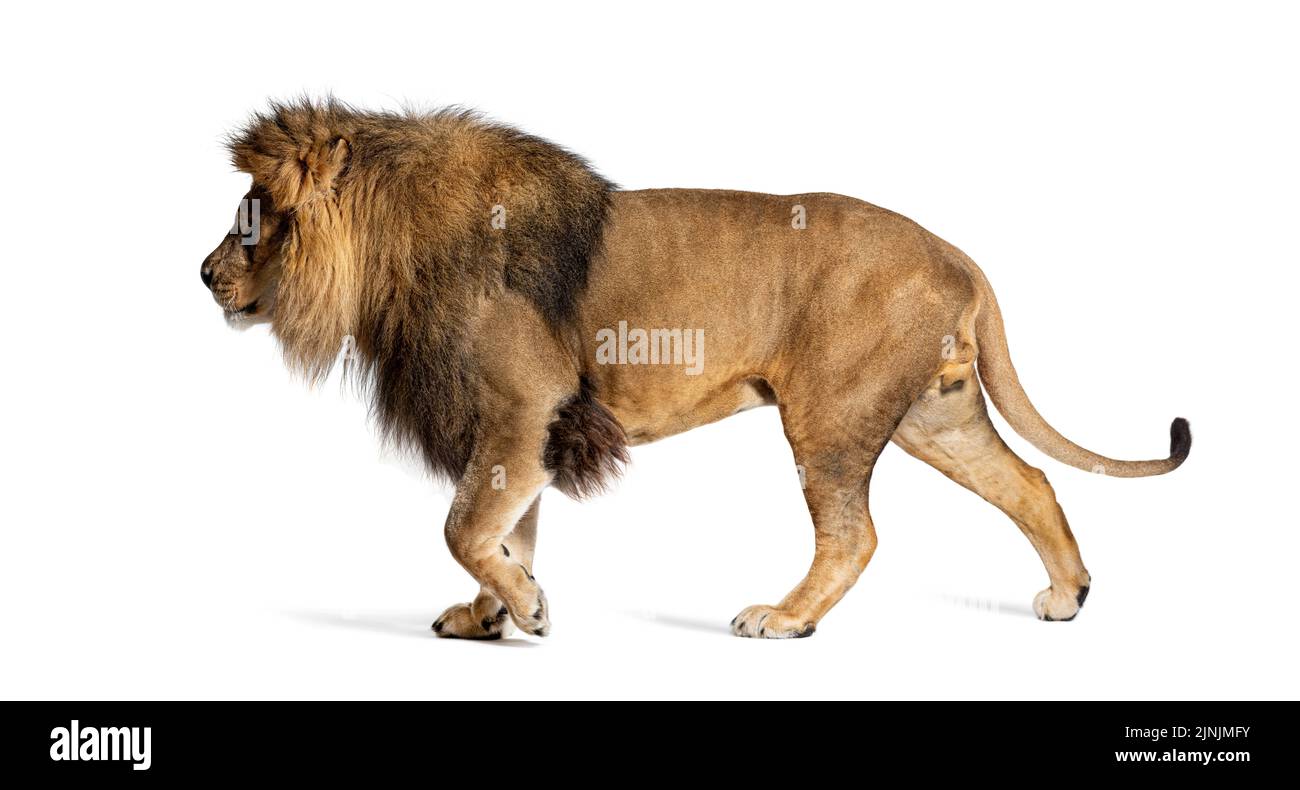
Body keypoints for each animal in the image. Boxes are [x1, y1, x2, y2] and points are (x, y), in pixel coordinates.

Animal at [201, 99, 1190, 639]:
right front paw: (496, 614)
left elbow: (464, 526)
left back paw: (785, 618)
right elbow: (508, 532)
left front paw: (526, 610)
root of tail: (957, 253)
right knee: (1030, 484)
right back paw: (1069, 594)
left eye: (253, 218)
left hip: (831, 416)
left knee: (855, 533)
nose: (203, 275)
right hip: (932, 415)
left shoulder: (522, 407)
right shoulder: (532, 427)